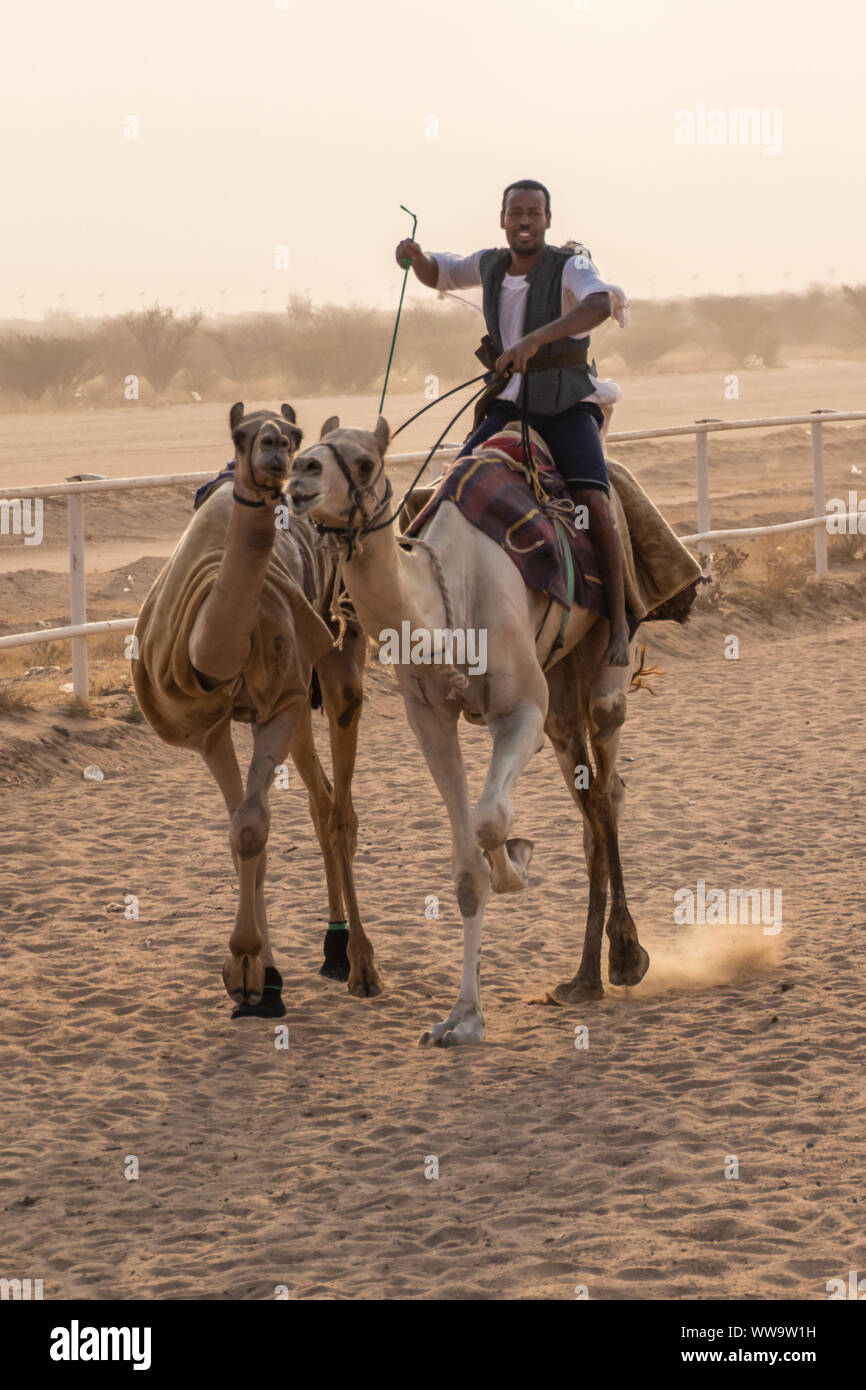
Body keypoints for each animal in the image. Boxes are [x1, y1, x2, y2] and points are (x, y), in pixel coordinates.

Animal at [132, 403, 381, 1017]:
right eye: (242, 434)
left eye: (291, 434)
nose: (275, 451)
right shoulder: (207, 726)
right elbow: (243, 830)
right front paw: (259, 976)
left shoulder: (282, 701)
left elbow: (251, 826)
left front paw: (246, 968)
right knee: (320, 802)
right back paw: (333, 949)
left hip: (340, 661)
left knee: (341, 811)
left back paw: (361, 963)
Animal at [288, 414, 650, 1046]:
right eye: (309, 446)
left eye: (365, 462)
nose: (300, 475)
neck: (445, 604)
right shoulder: (429, 717)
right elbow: (465, 866)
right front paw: (461, 1018)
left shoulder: (521, 709)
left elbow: (490, 821)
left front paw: (519, 861)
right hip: (559, 691)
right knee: (590, 794)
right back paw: (582, 979)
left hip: (607, 652)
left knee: (607, 788)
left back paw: (625, 957)